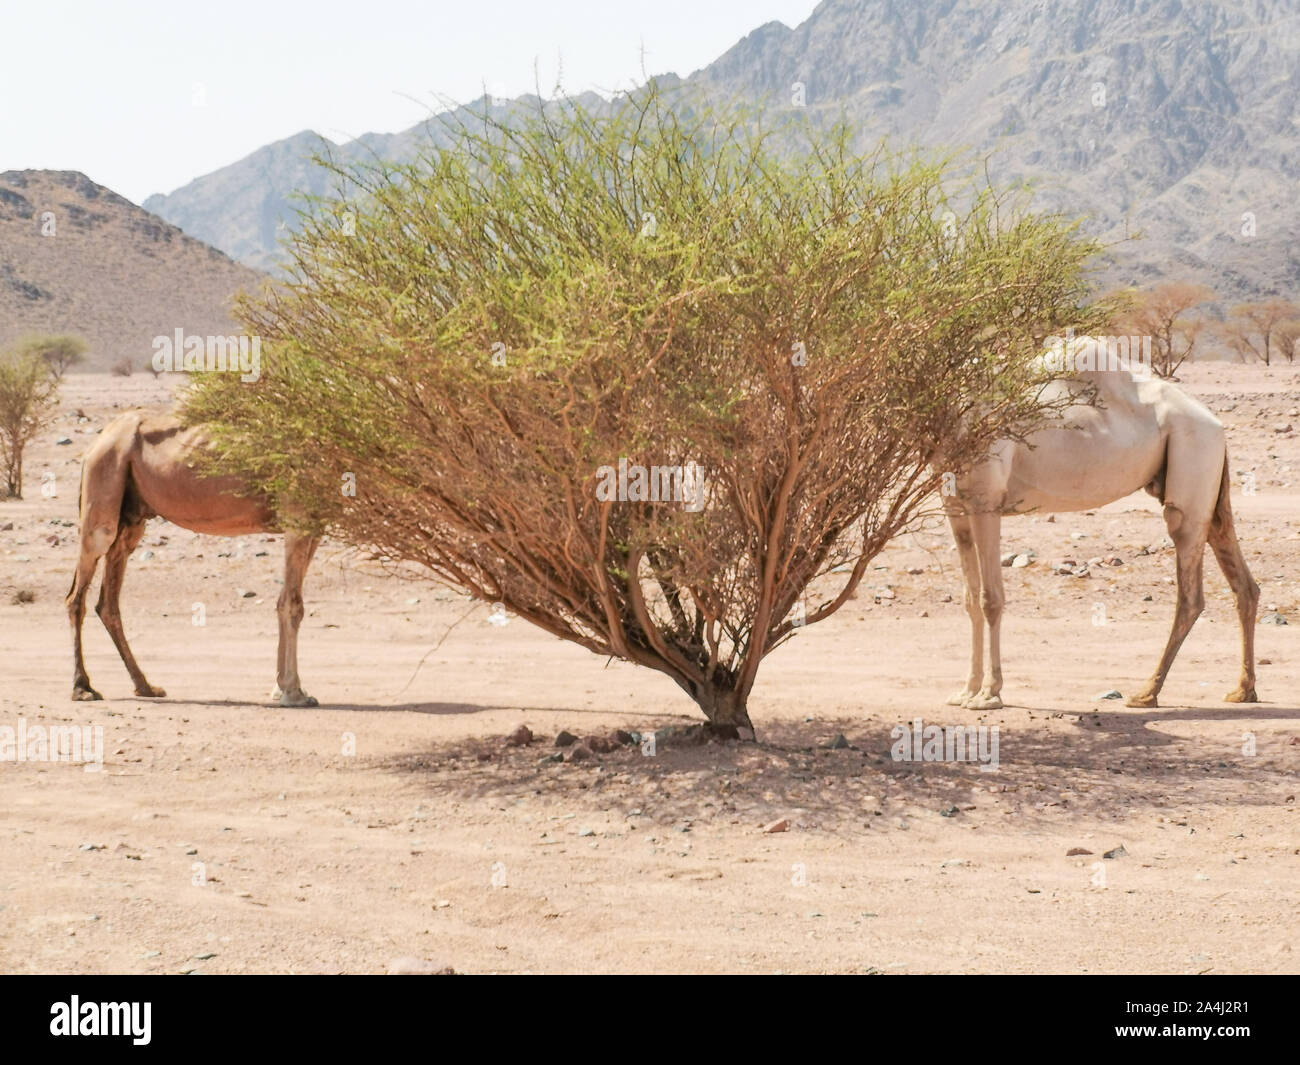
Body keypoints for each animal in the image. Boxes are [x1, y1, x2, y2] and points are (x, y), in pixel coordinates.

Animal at [67, 410, 321, 706]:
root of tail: (97, 443)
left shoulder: (314, 523)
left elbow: (289, 602)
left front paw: (281, 689)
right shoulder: (298, 515)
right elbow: (291, 604)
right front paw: (293, 692)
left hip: (131, 516)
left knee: (108, 601)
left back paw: (146, 686)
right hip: (104, 484)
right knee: (77, 594)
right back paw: (83, 688)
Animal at [943, 344, 1259, 711]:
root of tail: (1216, 424)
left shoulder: (986, 499)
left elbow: (989, 598)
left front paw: (989, 694)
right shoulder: (955, 505)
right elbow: (969, 599)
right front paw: (966, 691)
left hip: (1194, 457)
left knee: (1190, 586)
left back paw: (1147, 691)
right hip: (1208, 485)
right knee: (1238, 572)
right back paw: (1242, 689)